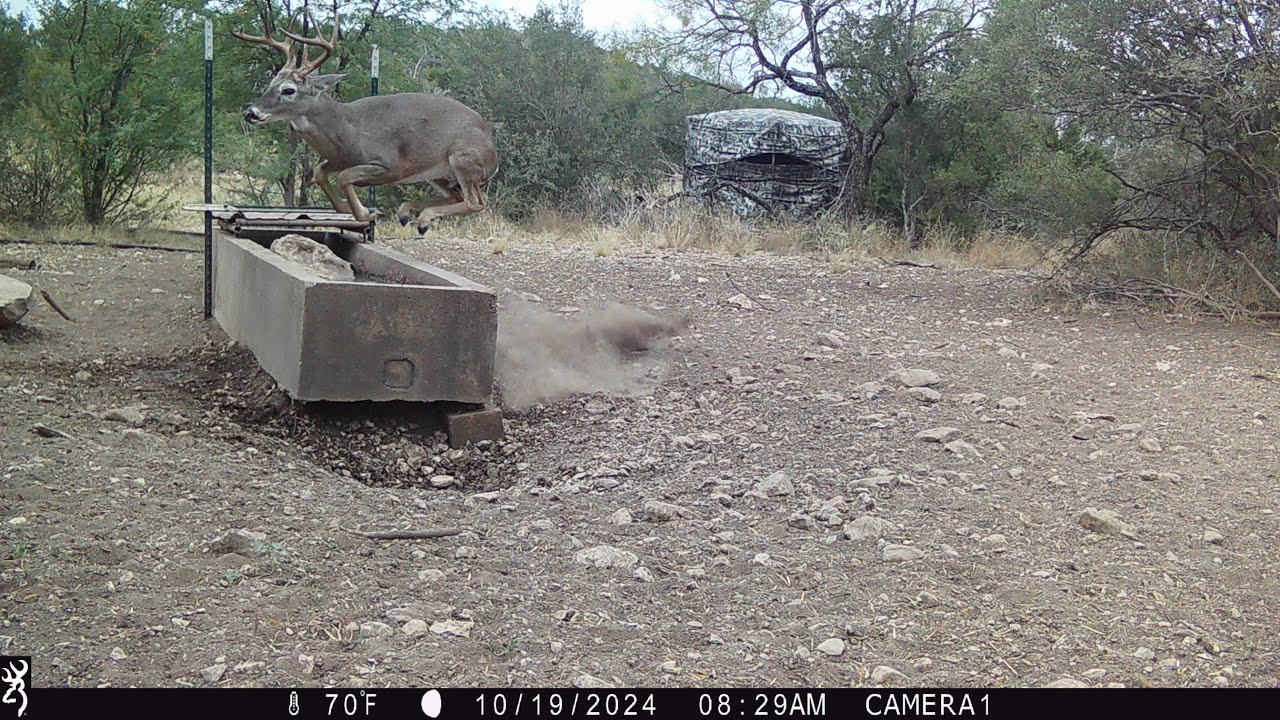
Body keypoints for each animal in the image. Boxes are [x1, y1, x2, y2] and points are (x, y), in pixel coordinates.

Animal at [233, 8, 499, 235]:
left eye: (288, 90)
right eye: (271, 83)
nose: (251, 113)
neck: (349, 129)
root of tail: (493, 153)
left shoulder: (391, 165)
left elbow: (344, 177)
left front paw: (365, 214)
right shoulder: (339, 159)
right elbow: (319, 172)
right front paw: (346, 208)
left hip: (463, 158)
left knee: (475, 202)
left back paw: (422, 219)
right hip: (437, 173)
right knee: (458, 197)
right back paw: (408, 213)